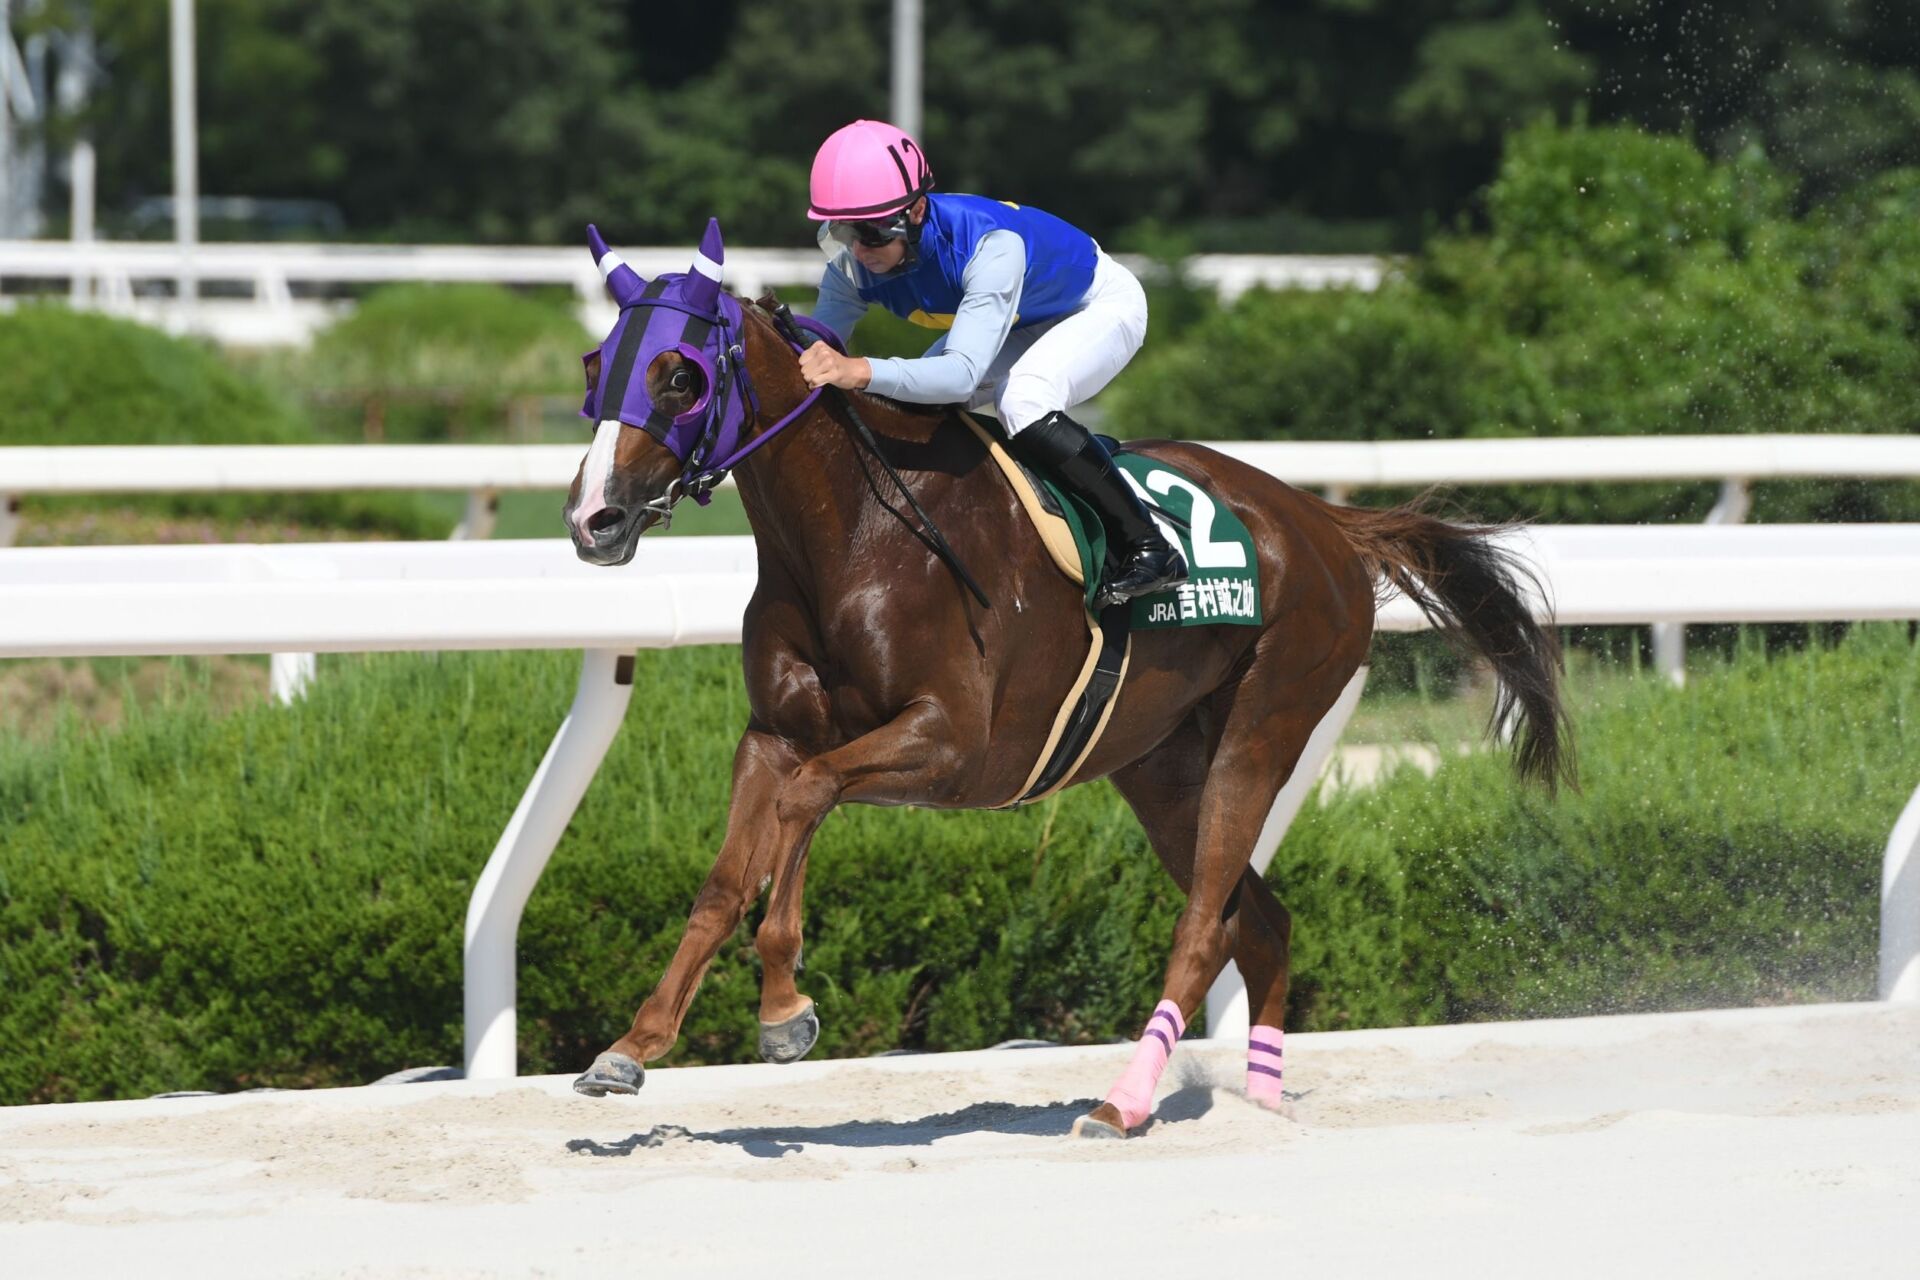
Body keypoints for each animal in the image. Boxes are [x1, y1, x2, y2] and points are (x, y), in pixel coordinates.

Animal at [561, 218, 1573, 1138]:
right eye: (596, 364)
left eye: (681, 375)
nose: (592, 519)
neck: (853, 537)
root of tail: (1326, 522)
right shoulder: (772, 732)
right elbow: (725, 879)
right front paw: (633, 1046)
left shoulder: (953, 748)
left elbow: (808, 796)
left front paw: (783, 1009)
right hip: (1161, 767)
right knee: (1261, 922)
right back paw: (1261, 1103)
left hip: (1263, 726)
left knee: (1205, 926)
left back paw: (1123, 1104)